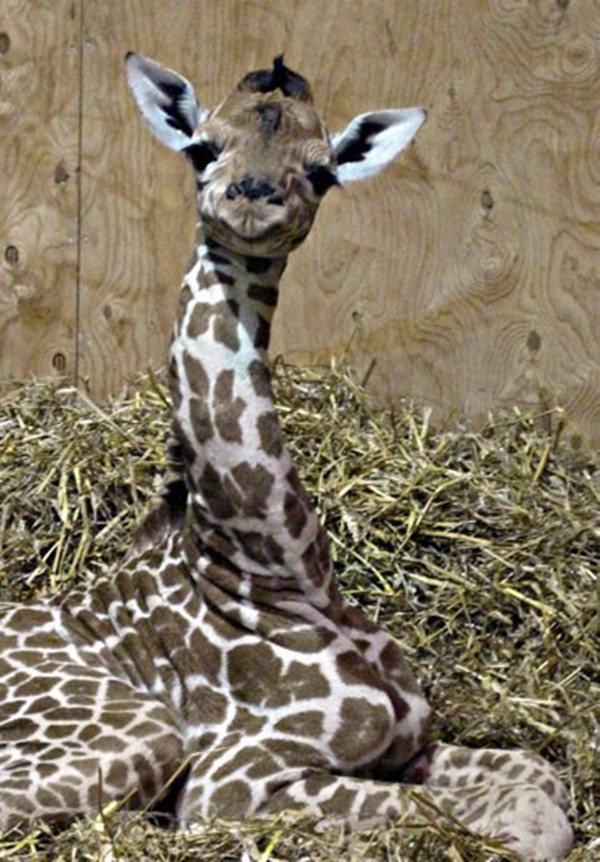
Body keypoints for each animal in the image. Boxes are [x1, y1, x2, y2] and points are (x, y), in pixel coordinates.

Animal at [0, 53, 573, 860]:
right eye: (202, 148)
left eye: (324, 170)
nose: (252, 201)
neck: (277, 564)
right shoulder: (230, 781)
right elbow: (503, 815)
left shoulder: (411, 738)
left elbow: (536, 777)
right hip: (134, 733)